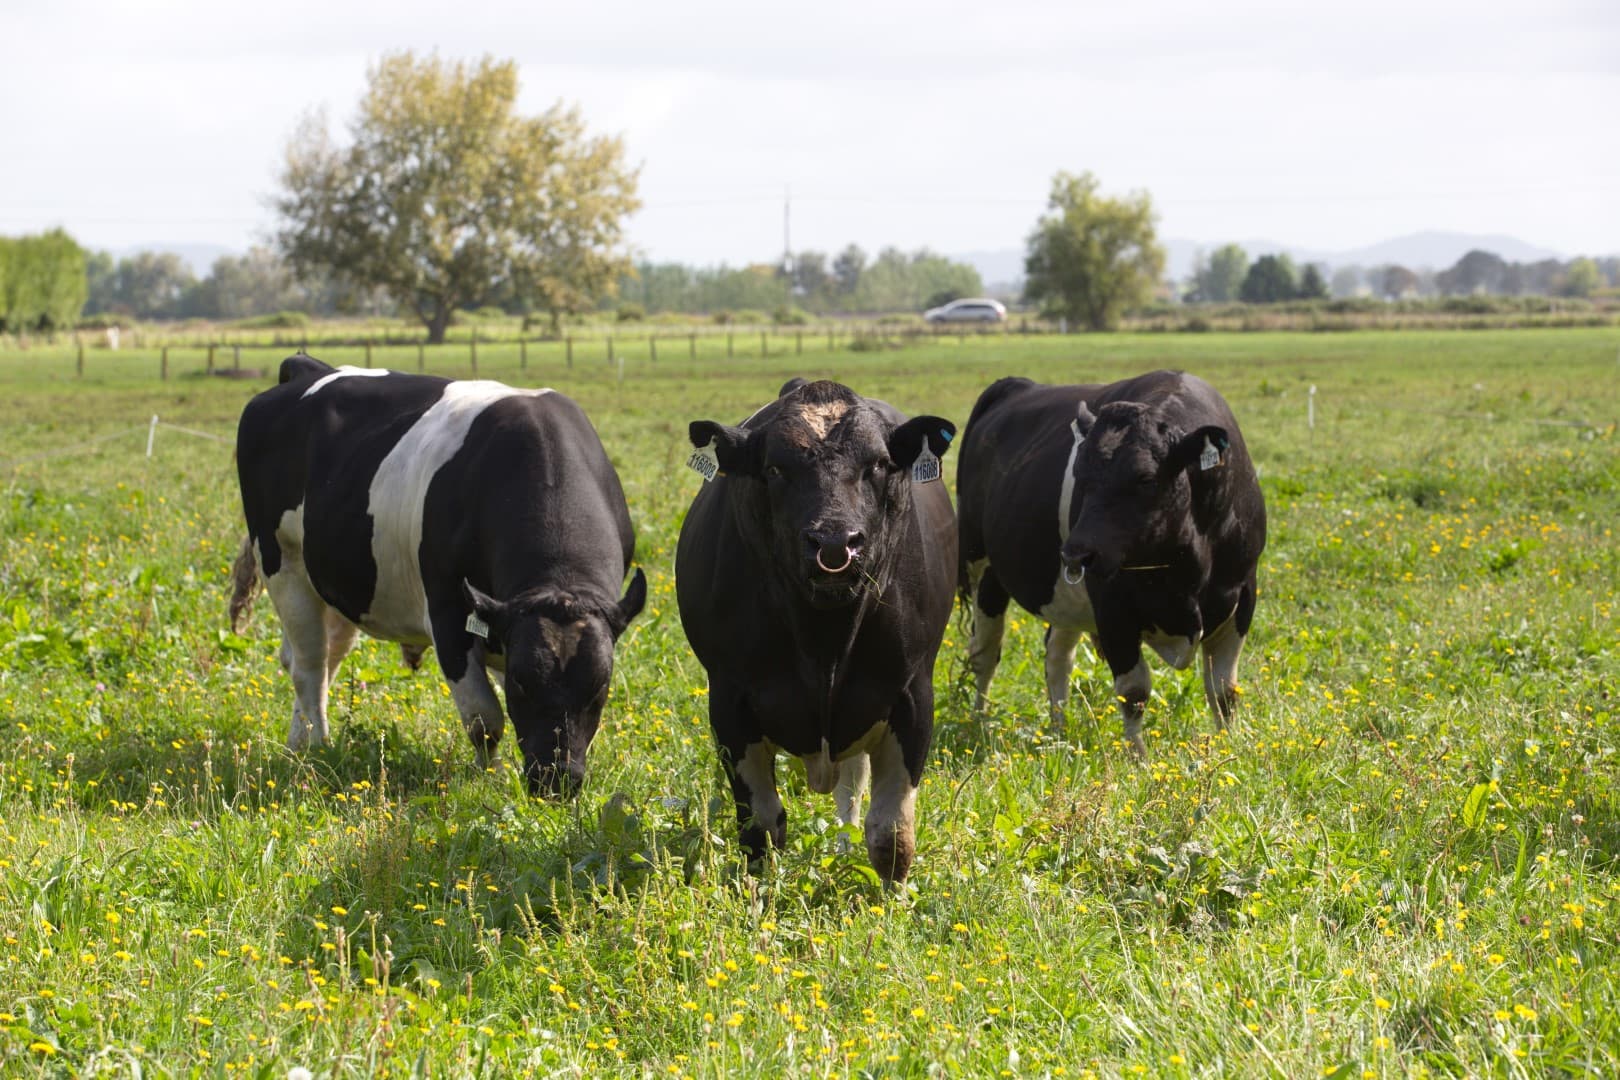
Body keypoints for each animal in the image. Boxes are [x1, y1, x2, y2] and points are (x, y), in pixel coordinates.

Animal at [235, 353, 646, 796]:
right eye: (522, 682)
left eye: (599, 686)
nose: (555, 779)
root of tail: (307, 368)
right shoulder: (448, 613)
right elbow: (484, 717)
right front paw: (489, 778)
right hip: (281, 561)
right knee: (309, 664)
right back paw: (315, 746)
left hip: (339, 580)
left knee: (319, 655)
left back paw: (298, 741)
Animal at [675, 378, 958, 883]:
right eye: (774, 468)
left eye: (878, 464)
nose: (834, 543)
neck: (825, 640)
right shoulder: (730, 702)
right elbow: (762, 825)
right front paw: (760, 895)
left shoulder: (912, 696)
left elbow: (891, 833)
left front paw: (893, 899)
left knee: (852, 788)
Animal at [956, 371, 1266, 757]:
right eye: (1080, 475)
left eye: (1146, 478)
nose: (1076, 553)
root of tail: (1016, 384)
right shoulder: (1112, 606)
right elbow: (1134, 691)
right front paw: (1139, 759)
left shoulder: (1242, 592)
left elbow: (1223, 689)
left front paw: (1229, 745)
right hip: (982, 567)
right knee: (984, 652)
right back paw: (977, 722)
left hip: (1065, 594)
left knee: (1057, 656)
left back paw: (1058, 732)